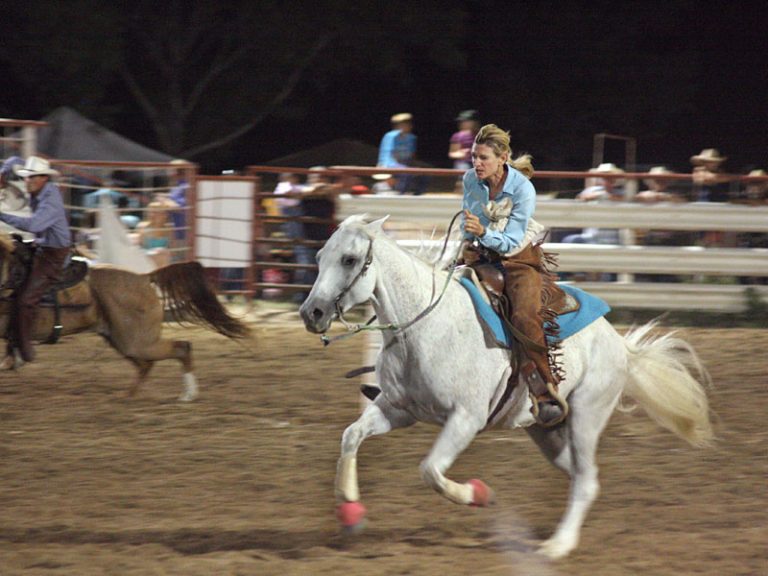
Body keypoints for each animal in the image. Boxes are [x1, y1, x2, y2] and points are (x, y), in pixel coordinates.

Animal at [0, 235, 250, 401]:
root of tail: (144, 277)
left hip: (136, 341)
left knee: (181, 347)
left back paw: (188, 395)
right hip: (121, 339)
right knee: (147, 364)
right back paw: (129, 395)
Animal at [299, 214, 712, 559]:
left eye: (349, 259)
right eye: (320, 256)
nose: (311, 313)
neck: (424, 326)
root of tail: (618, 344)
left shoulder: (465, 418)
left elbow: (430, 470)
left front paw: (478, 495)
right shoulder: (398, 410)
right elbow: (351, 436)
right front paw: (351, 512)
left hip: (586, 416)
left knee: (584, 480)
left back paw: (558, 546)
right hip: (547, 431)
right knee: (583, 476)